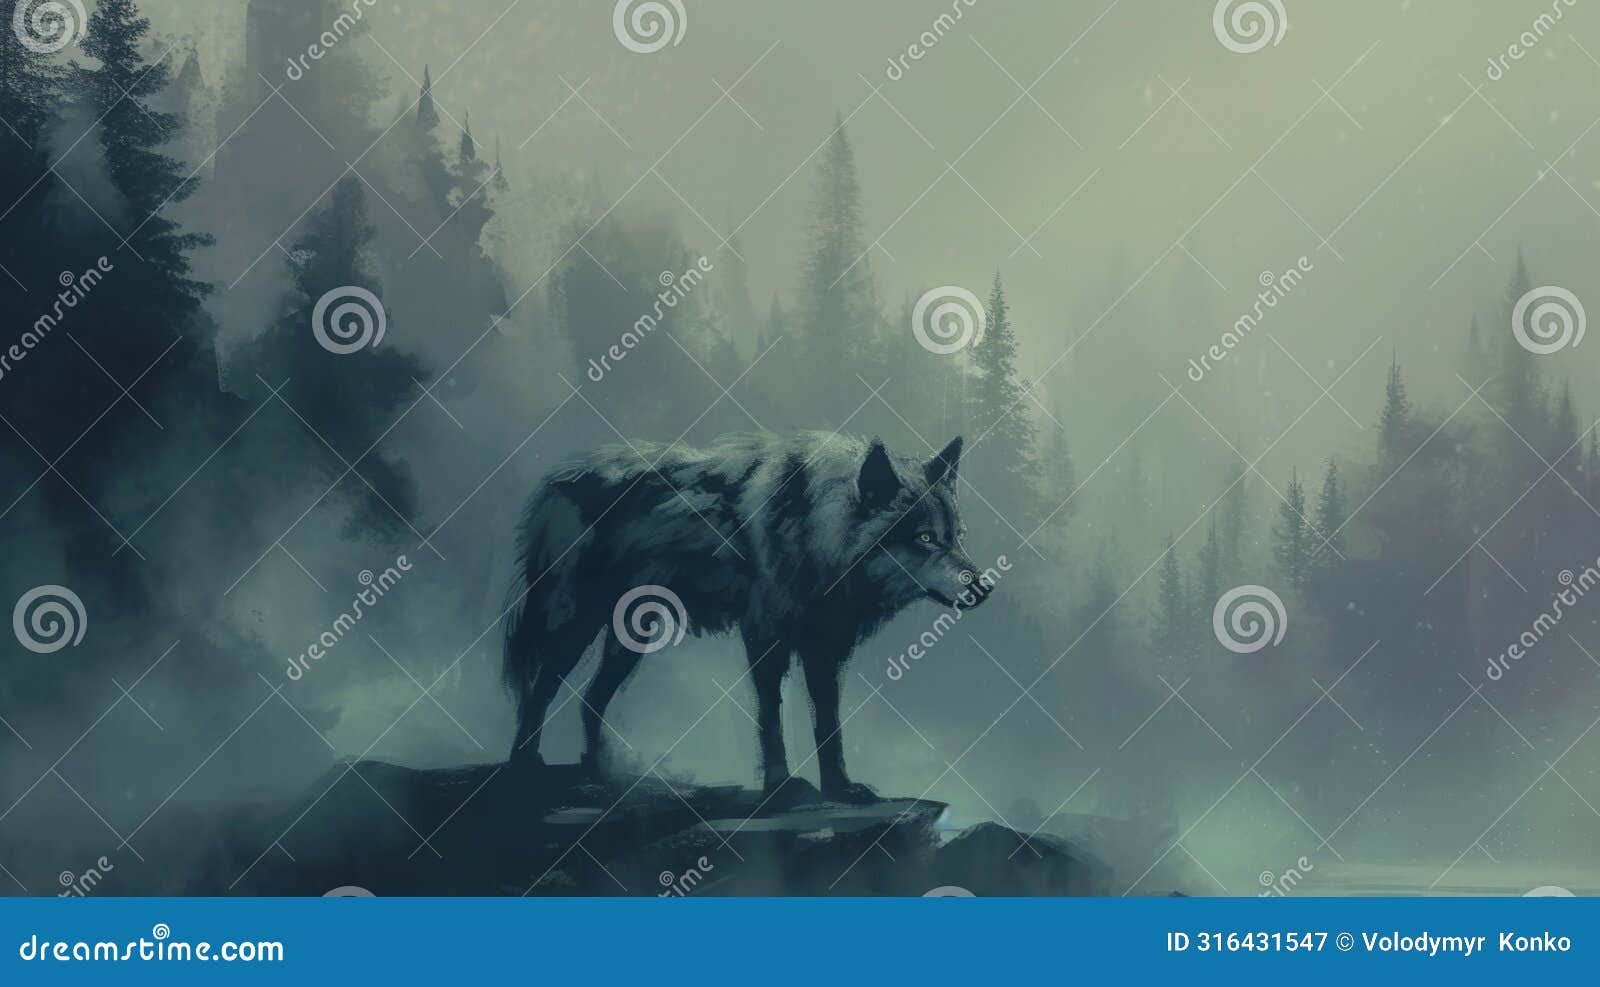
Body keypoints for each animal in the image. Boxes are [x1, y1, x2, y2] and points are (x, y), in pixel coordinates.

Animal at [501, 432, 990, 805]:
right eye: (925, 538)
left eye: (958, 537)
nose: (984, 587)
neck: (814, 532)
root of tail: (558, 475)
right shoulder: (765, 637)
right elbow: (770, 717)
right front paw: (780, 787)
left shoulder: (824, 650)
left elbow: (828, 724)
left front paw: (839, 788)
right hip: (574, 625)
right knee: (541, 691)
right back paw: (525, 766)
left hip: (630, 642)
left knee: (590, 699)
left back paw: (602, 776)